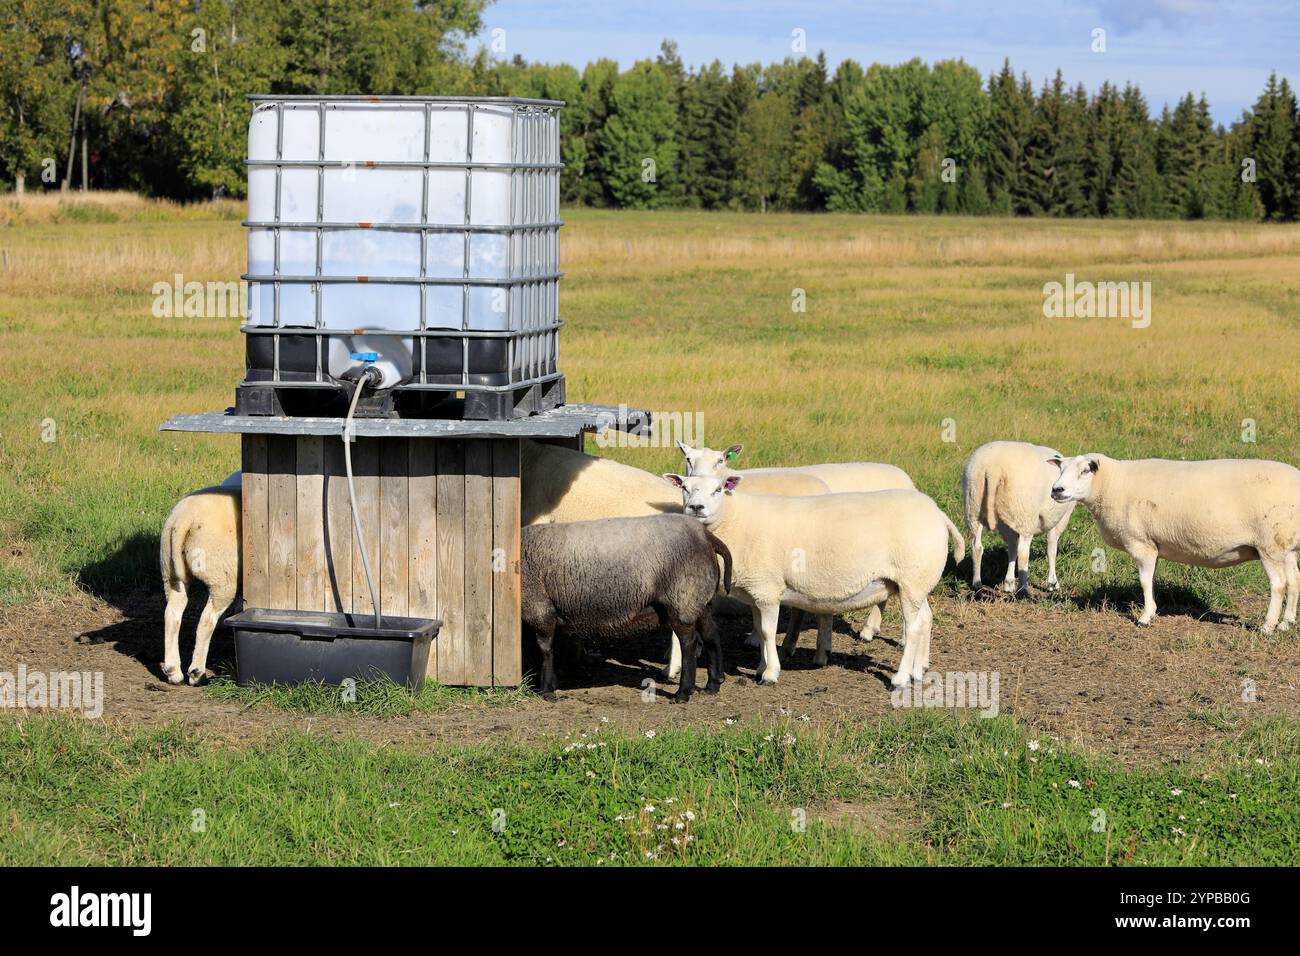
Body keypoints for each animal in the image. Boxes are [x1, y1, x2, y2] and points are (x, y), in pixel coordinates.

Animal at [161, 473, 242, 685]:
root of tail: (183, 518)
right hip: (223, 577)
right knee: (206, 620)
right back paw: (197, 673)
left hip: (170, 572)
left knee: (172, 613)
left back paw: (174, 672)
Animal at [521, 514, 732, 701]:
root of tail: (705, 535)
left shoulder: (539, 606)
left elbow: (545, 649)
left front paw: (546, 689)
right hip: (699, 600)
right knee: (711, 634)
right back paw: (713, 684)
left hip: (682, 598)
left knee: (689, 643)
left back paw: (683, 693)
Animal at [663, 473, 964, 687]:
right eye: (685, 487)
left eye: (718, 489)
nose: (696, 507)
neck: (735, 519)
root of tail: (939, 515)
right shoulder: (757, 594)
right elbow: (759, 630)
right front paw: (761, 667)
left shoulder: (767, 589)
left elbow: (767, 632)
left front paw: (770, 674)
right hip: (915, 582)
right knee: (925, 619)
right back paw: (918, 671)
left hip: (912, 579)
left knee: (913, 628)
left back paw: (901, 679)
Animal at [962, 441, 1076, 595]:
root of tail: (993, 468)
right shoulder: (1059, 520)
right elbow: (1051, 550)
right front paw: (1052, 583)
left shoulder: (1009, 523)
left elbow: (1012, 548)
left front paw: (1009, 583)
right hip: (1025, 513)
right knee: (1023, 552)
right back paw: (1023, 589)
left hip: (974, 506)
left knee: (978, 546)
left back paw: (977, 584)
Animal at [1049, 454, 1300, 633]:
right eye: (1060, 469)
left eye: (1085, 471)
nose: (1056, 490)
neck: (1112, 484)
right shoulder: (1154, 545)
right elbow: (1151, 580)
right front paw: (1151, 611)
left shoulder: (1141, 543)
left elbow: (1144, 581)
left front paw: (1145, 617)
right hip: (1287, 545)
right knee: (1294, 581)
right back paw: (1286, 623)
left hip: (1269, 544)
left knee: (1278, 584)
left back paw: (1267, 626)